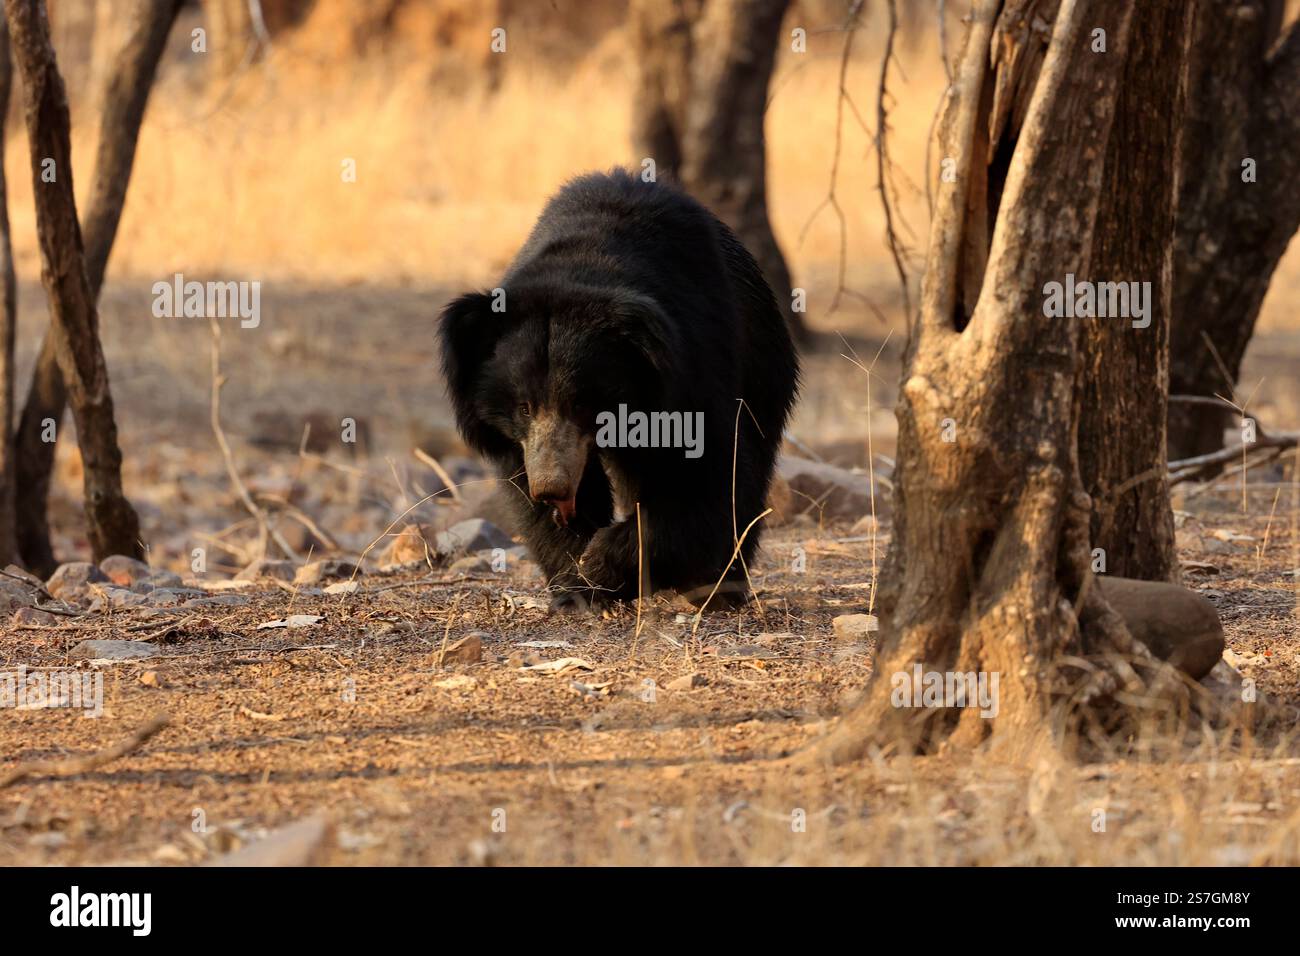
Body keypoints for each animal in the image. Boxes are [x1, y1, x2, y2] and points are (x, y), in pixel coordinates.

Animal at [438, 169, 799, 611]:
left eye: (582, 404)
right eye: (524, 407)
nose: (552, 489)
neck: (583, 264)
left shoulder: (694, 369)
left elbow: (707, 478)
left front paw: (598, 565)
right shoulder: (523, 444)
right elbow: (527, 486)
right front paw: (575, 580)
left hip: (765, 360)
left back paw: (720, 588)